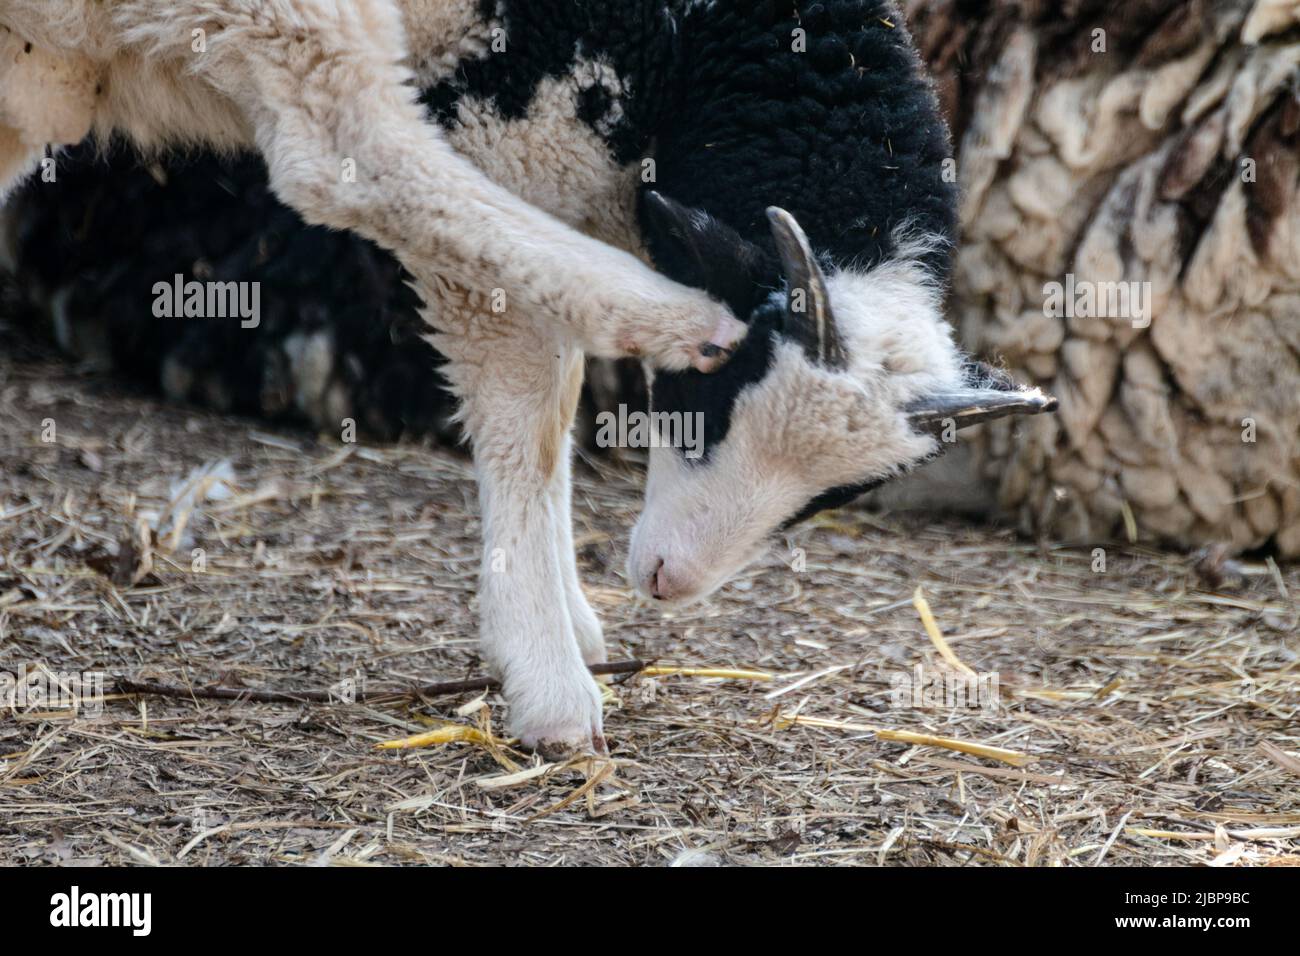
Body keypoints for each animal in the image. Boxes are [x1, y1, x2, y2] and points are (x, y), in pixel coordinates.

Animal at [1, 0, 1054, 754]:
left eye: (830, 497)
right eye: (713, 407)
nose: (668, 582)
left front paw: (573, 624)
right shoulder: (502, 123)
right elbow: (528, 412)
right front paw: (547, 675)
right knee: (347, 157)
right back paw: (673, 315)